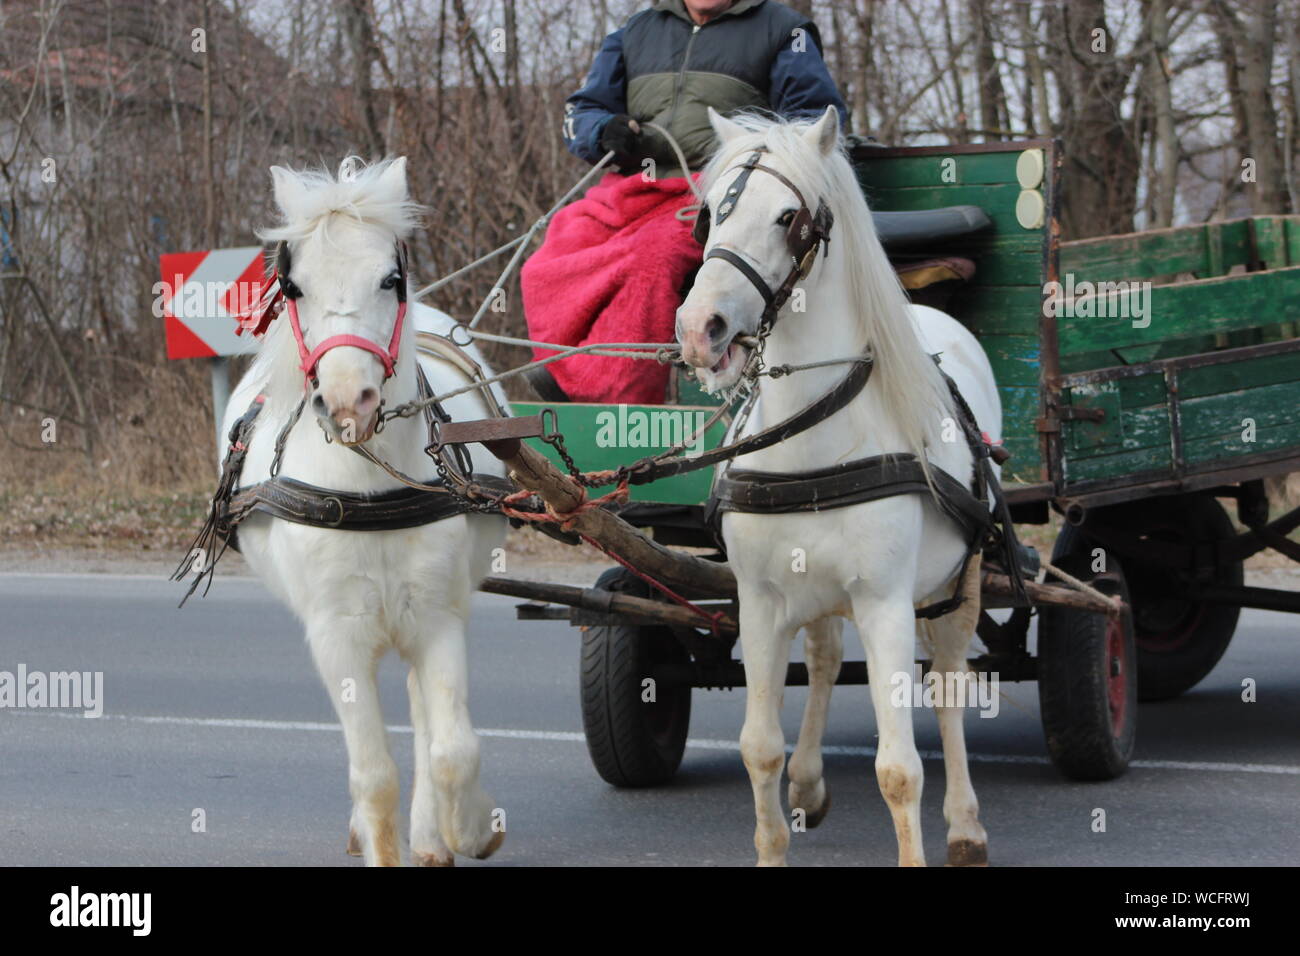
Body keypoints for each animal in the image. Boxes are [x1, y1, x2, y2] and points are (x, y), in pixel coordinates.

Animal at [220, 157, 507, 866]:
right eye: (293, 287)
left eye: (391, 279)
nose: (349, 398)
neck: (370, 489)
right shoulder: (337, 635)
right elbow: (374, 776)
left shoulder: (436, 617)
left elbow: (452, 750)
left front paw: (470, 827)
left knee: (427, 719)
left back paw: (434, 834)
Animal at [676, 107, 1001, 867]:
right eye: (711, 213)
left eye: (787, 217)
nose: (700, 330)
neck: (815, 429)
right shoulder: (761, 603)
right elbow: (759, 748)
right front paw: (777, 829)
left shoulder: (885, 605)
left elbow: (898, 769)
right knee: (823, 661)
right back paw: (809, 781)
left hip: (959, 583)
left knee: (948, 685)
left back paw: (966, 825)